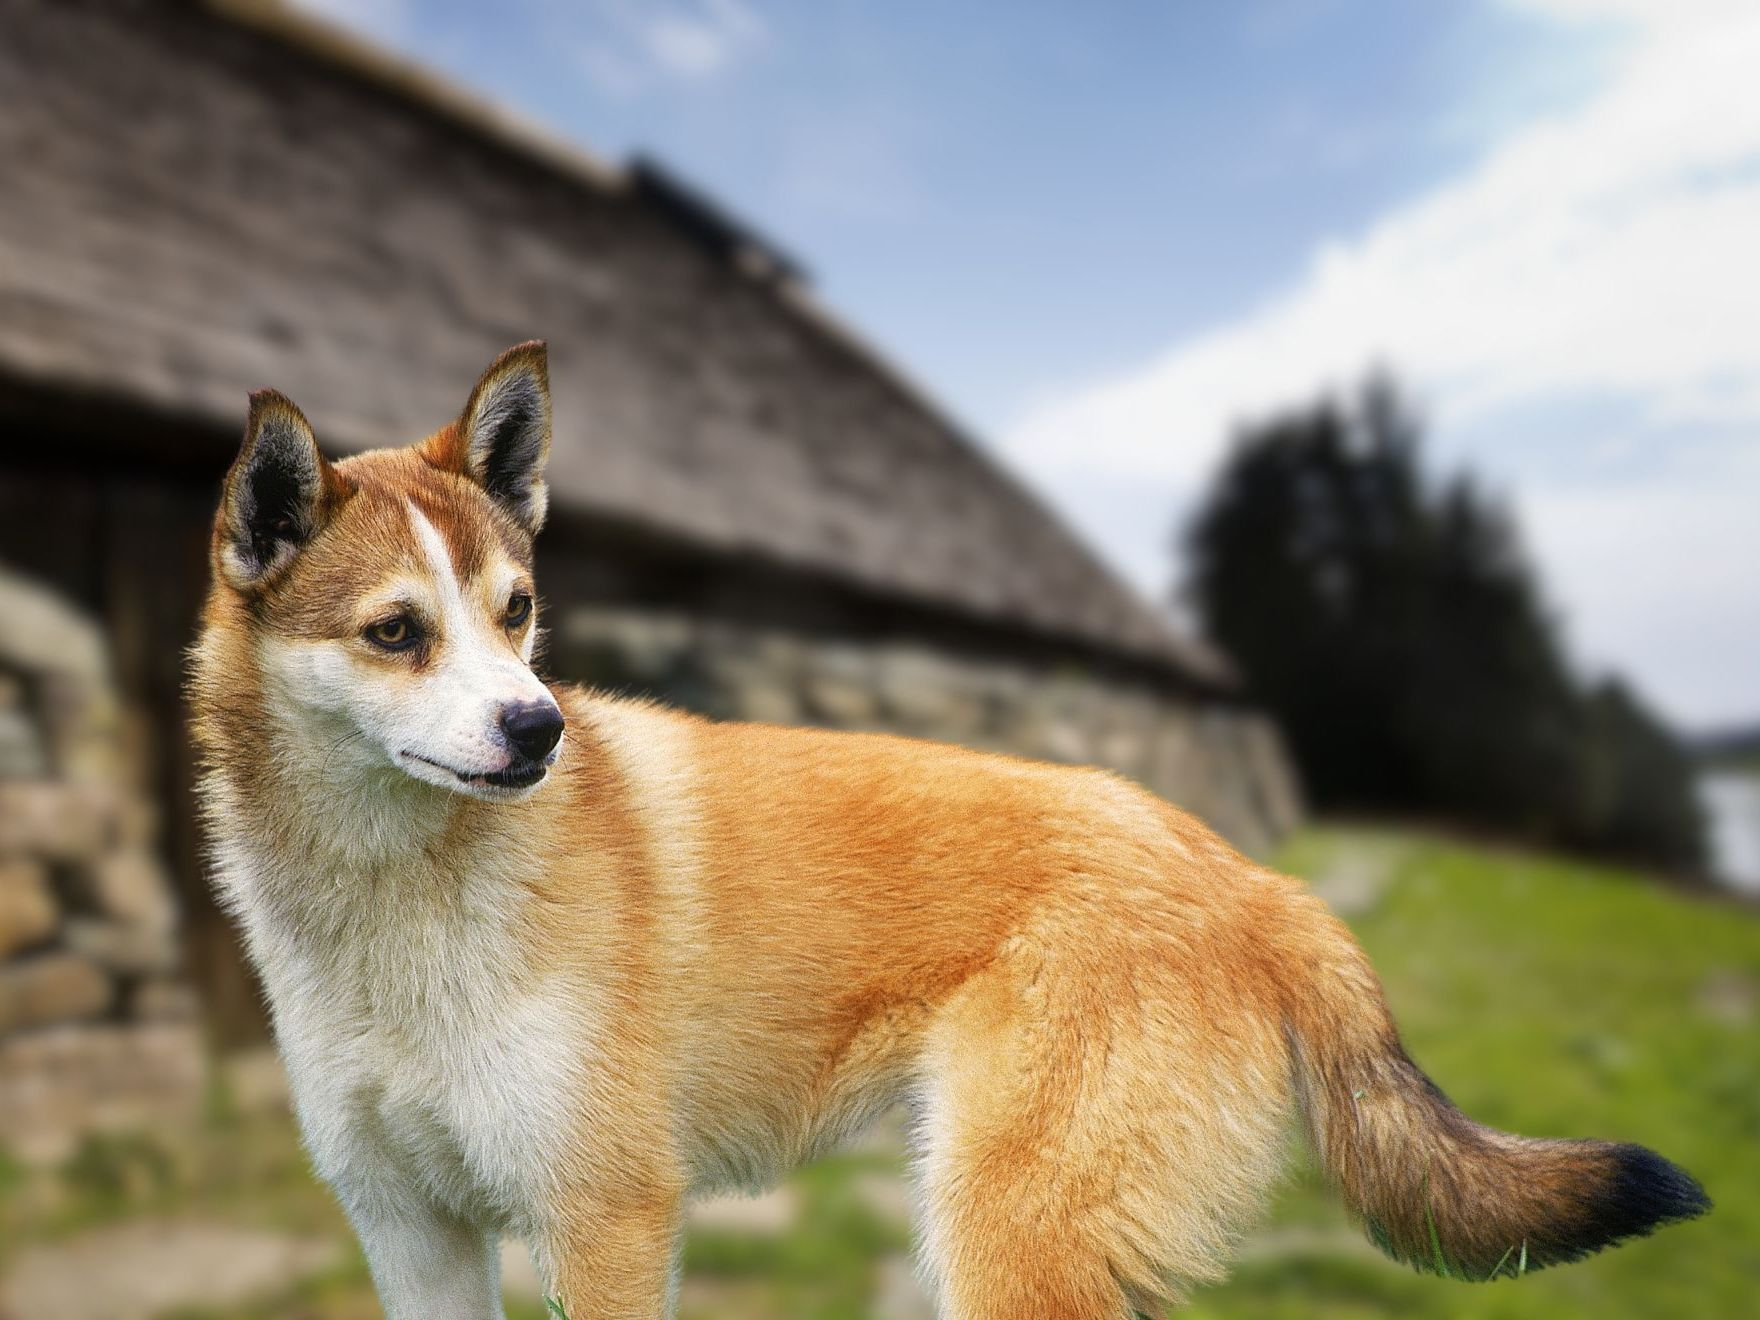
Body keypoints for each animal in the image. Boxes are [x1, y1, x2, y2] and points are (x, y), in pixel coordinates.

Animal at [189, 343, 1703, 1320]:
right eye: (397, 631)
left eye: (516, 613)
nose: (538, 730)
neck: (398, 903)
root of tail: (1241, 872)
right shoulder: (416, 1239)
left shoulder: (606, 1224)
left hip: (1006, 1247)